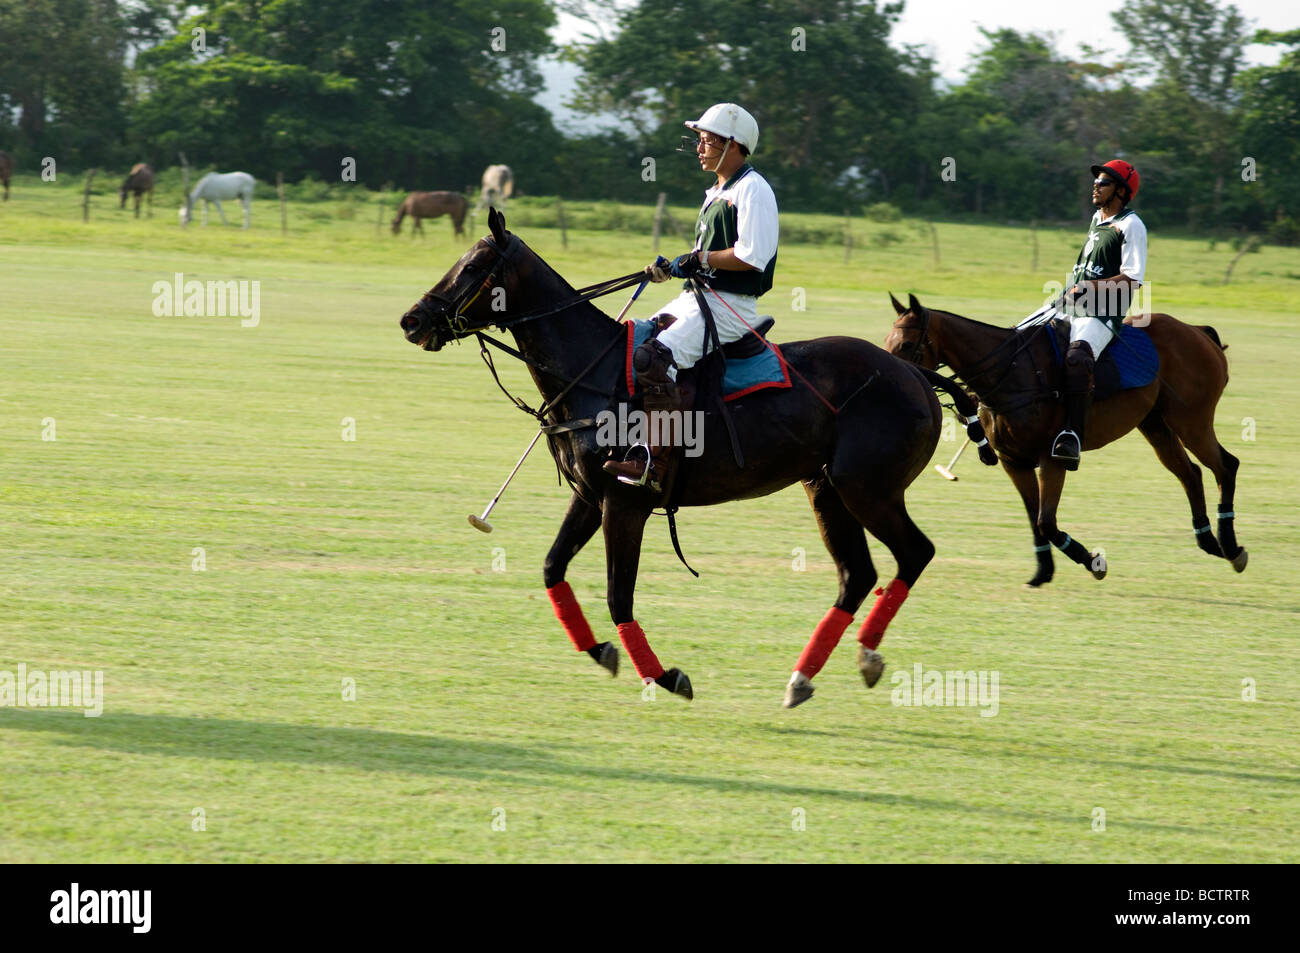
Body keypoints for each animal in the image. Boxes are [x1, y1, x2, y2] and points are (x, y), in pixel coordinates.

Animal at [399, 210, 997, 707]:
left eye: (473, 266)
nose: (412, 321)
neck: (593, 373)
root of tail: (915, 372)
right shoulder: (591, 497)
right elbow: (552, 568)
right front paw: (602, 651)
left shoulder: (626, 502)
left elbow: (619, 595)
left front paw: (666, 676)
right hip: (825, 486)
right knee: (857, 573)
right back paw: (802, 677)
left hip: (867, 486)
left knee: (914, 552)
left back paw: (866, 654)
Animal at [884, 293, 1246, 588]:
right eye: (887, 341)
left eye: (906, 345)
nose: (897, 377)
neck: (1011, 372)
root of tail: (1198, 331)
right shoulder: (1013, 461)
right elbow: (1035, 519)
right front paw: (1042, 572)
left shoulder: (1052, 458)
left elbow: (1046, 521)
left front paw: (1094, 561)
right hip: (1155, 423)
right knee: (1191, 473)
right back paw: (1209, 542)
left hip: (1191, 419)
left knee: (1225, 465)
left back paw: (1231, 547)